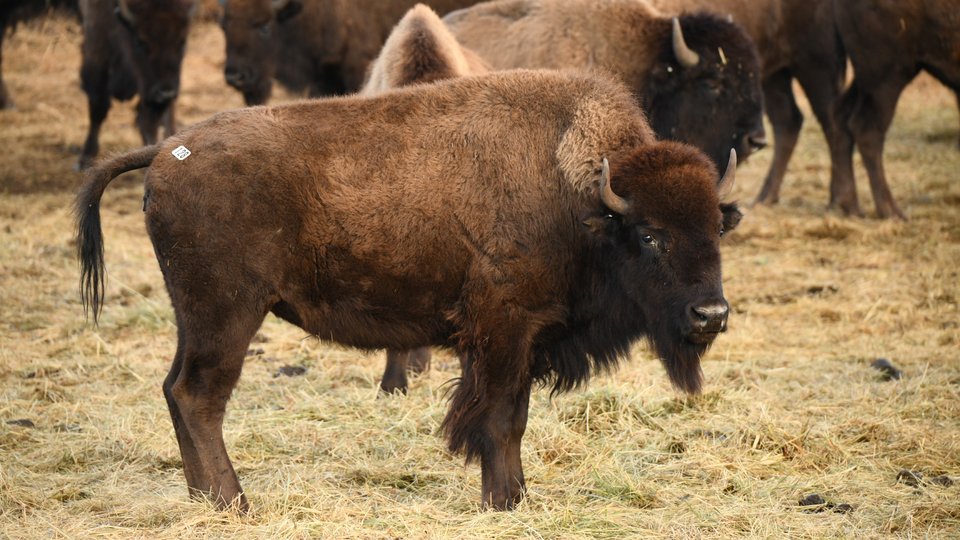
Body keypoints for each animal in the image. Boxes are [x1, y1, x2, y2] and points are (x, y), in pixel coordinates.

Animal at [77, 0, 196, 169]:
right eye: (141, 42)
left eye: (182, 41)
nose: (165, 92)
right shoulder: (97, 49)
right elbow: (98, 108)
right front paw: (85, 159)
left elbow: (148, 120)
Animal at [77, 69, 741, 510]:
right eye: (650, 235)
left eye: (716, 226)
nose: (710, 314)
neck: (582, 199)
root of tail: (167, 150)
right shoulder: (503, 331)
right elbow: (500, 420)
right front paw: (503, 501)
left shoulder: (522, 344)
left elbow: (514, 417)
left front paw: (517, 497)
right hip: (227, 314)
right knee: (200, 396)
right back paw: (234, 502)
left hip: (194, 317)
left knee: (176, 390)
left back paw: (206, 500)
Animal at [832, 0, 960, 219]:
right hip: (888, 75)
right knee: (867, 129)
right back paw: (891, 211)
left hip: (869, 77)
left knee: (842, 116)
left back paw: (851, 207)